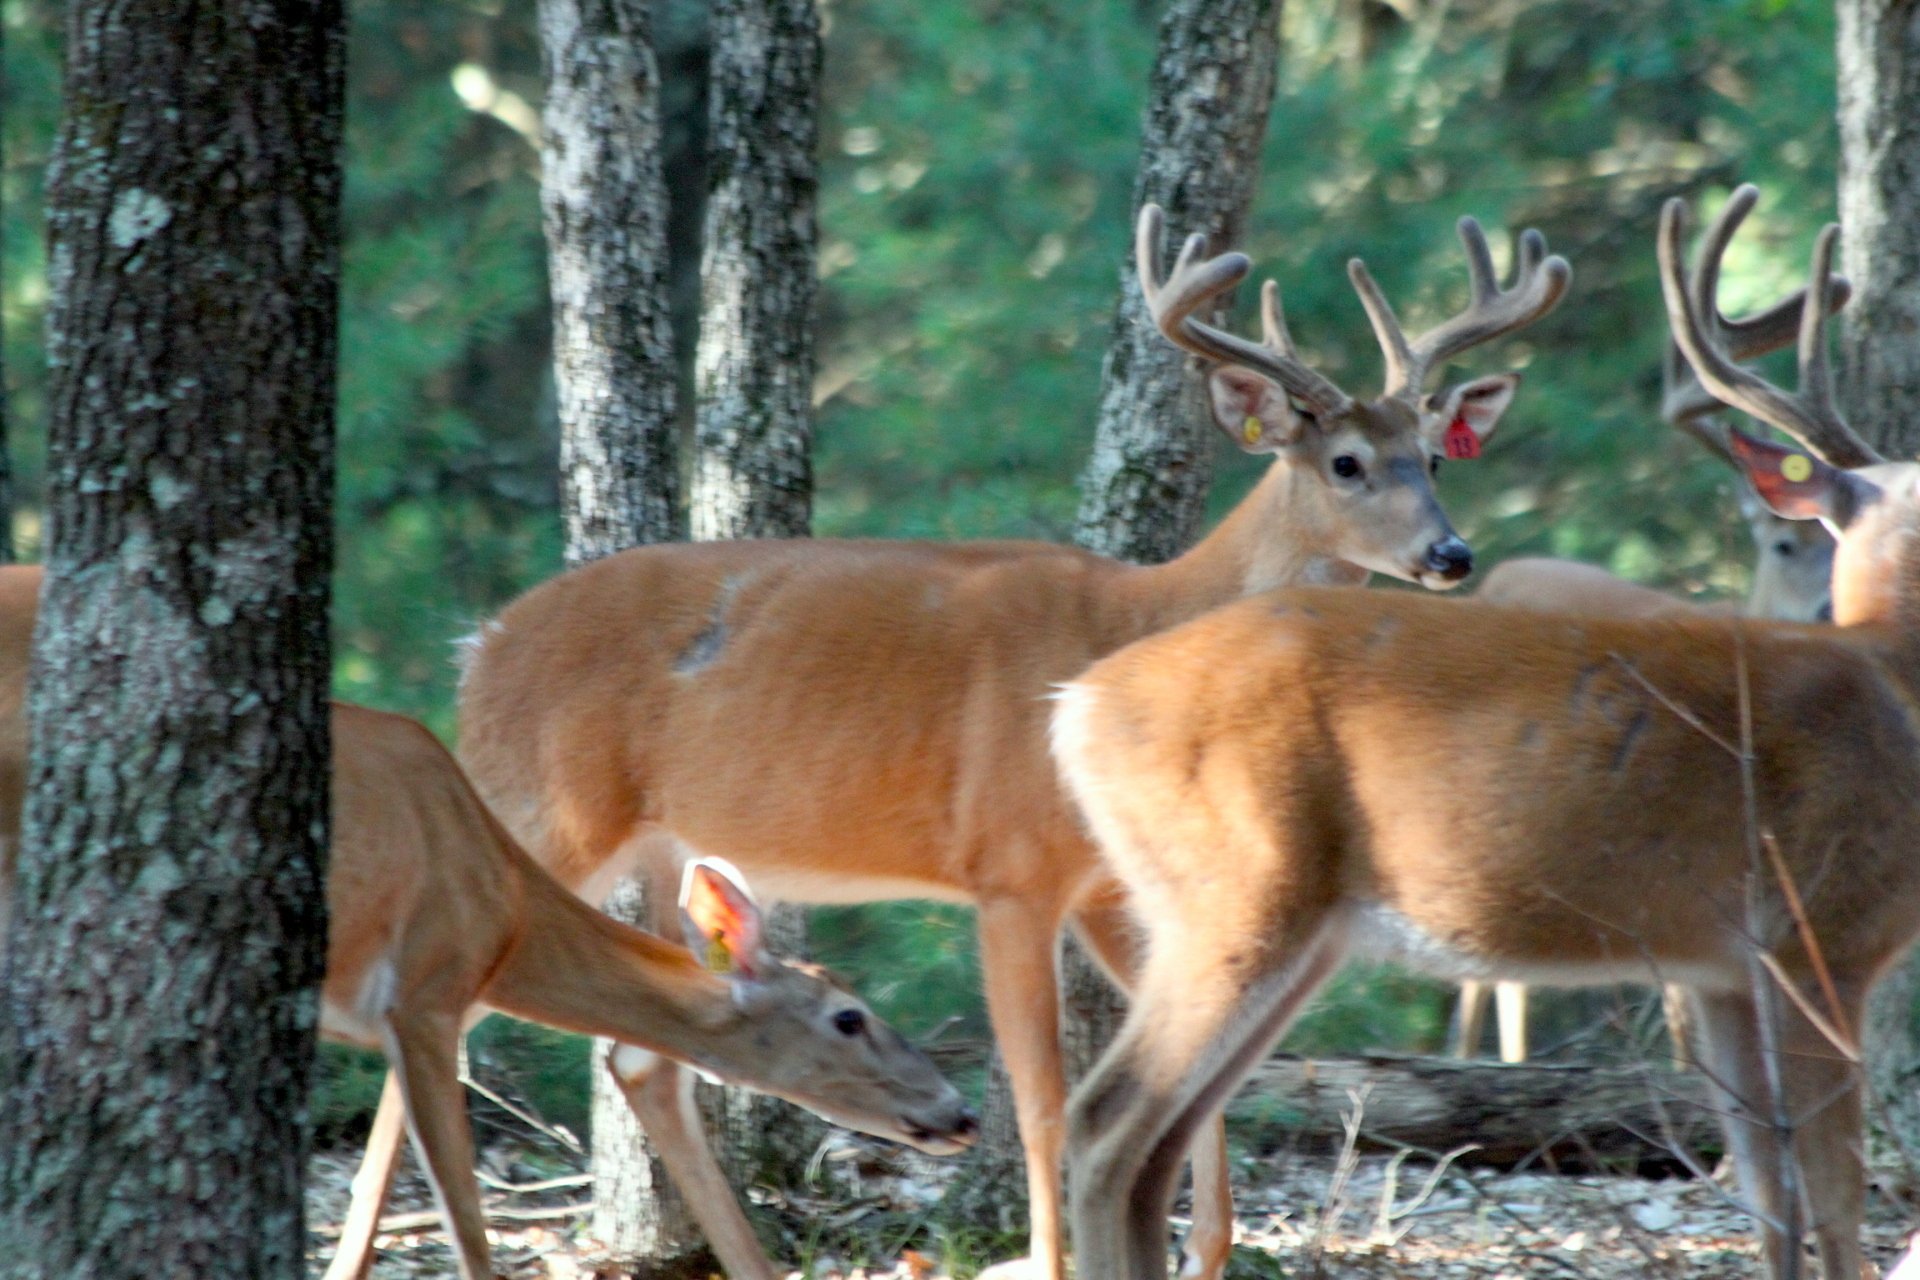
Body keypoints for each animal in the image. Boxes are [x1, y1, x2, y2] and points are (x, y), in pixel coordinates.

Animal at [450, 203, 1568, 1280]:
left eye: (1432, 455)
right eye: (1345, 463)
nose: (1451, 553)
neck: (1137, 618)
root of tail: (480, 644)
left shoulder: (1110, 884)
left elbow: (1185, 1080)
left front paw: (1203, 1251)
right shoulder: (1011, 866)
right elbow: (1043, 1099)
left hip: (663, 845)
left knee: (640, 1056)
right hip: (541, 808)